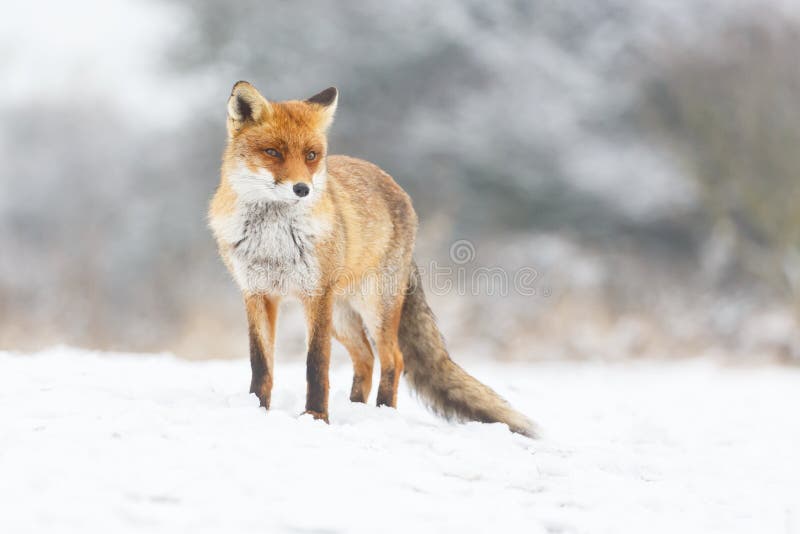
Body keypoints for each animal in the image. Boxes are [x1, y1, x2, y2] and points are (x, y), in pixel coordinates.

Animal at [209, 81, 537, 437]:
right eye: (273, 152)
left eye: (311, 155)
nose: (302, 189)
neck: (273, 240)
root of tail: (392, 183)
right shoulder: (257, 294)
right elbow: (261, 364)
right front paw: (257, 410)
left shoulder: (315, 297)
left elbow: (316, 364)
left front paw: (316, 417)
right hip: (341, 316)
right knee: (365, 357)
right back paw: (356, 407)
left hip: (372, 306)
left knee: (393, 357)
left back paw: (382, 413)